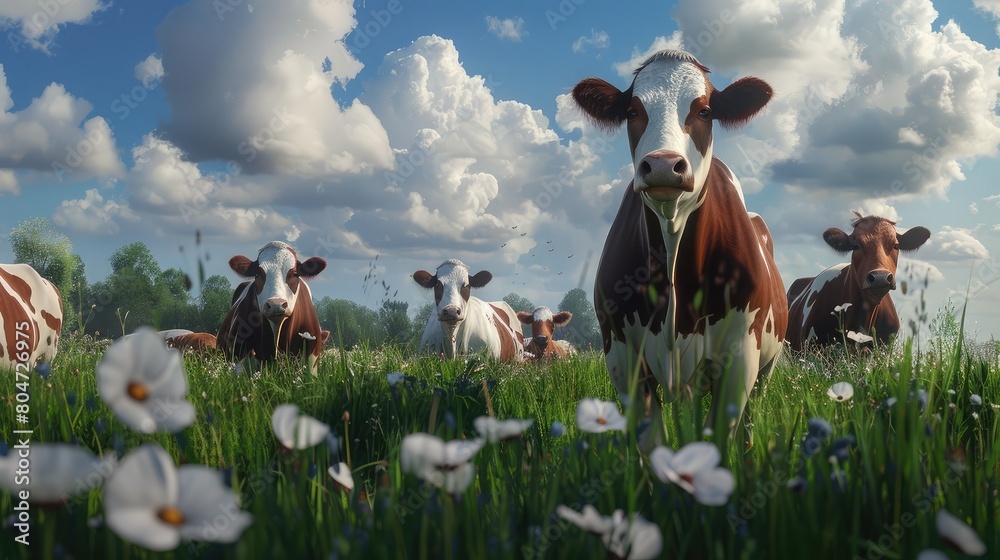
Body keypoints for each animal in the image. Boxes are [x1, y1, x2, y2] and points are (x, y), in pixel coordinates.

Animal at [572, 49, 787, 450]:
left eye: (704, 111)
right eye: (632, 111)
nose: (661, 165)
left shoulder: (740, 360)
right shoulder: (622, 357)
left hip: (766, 369)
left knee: (750, 425)